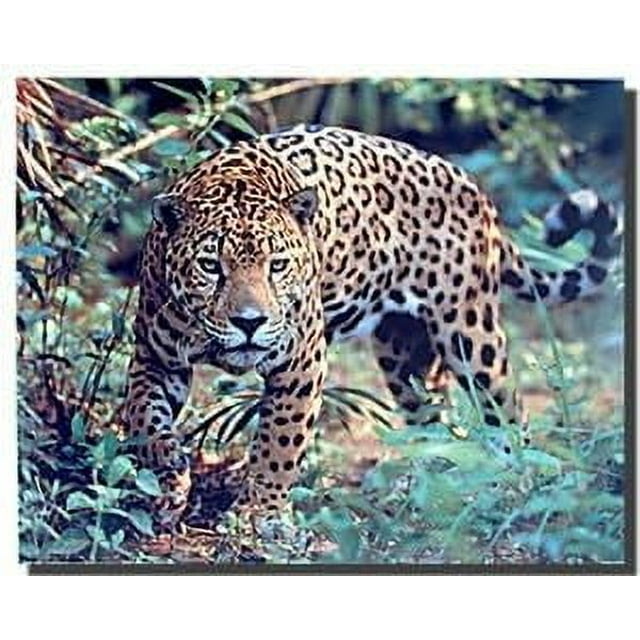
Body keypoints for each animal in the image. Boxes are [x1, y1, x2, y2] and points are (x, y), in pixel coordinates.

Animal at [123, 124, 621, 531]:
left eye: (276, 266)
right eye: (211, 266)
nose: (250, 322)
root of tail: (474, 189)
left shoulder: (300, 363)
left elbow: (279, 442)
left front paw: (258, 515)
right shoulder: (154, 356)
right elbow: (144, 418)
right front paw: (170, 476)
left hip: (470, 336)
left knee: (507, 409)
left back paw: (516, 481)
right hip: (404, 353)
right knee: (430, 412)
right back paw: (429, 482)